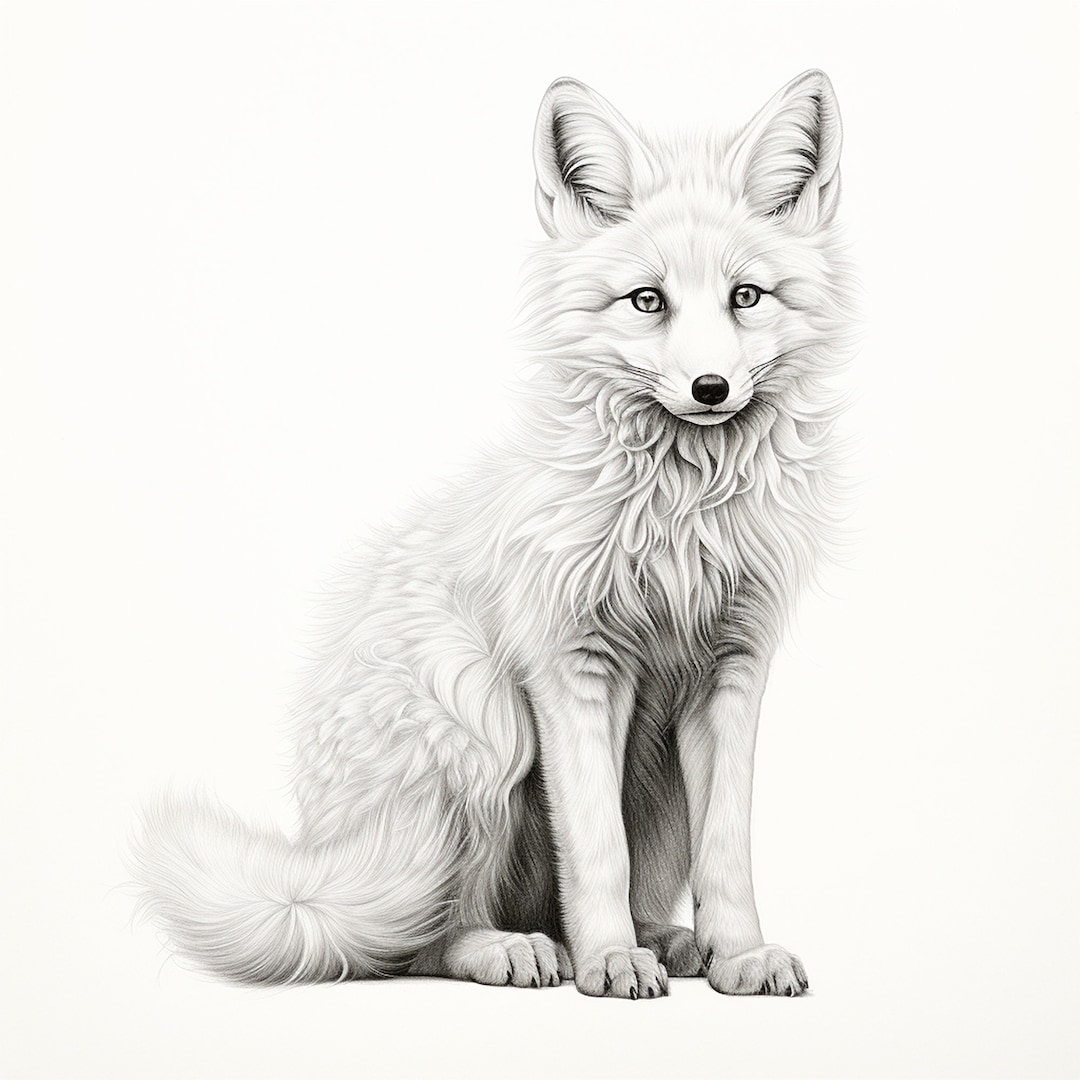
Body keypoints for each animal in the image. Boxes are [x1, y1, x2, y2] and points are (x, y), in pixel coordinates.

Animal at [131, 70, 857, 999]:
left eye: (746, 297)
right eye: (648, 300)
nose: (709, 388)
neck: (678, 516)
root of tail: (318, 862)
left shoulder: (732, 668)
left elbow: (726, 850)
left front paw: (738, 955)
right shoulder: (572, 666)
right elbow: (596, 849)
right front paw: (608, 962)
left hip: (647, 777)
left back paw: (664, 940)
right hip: (485, 724)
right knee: (423, 943)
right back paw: (527, 950)